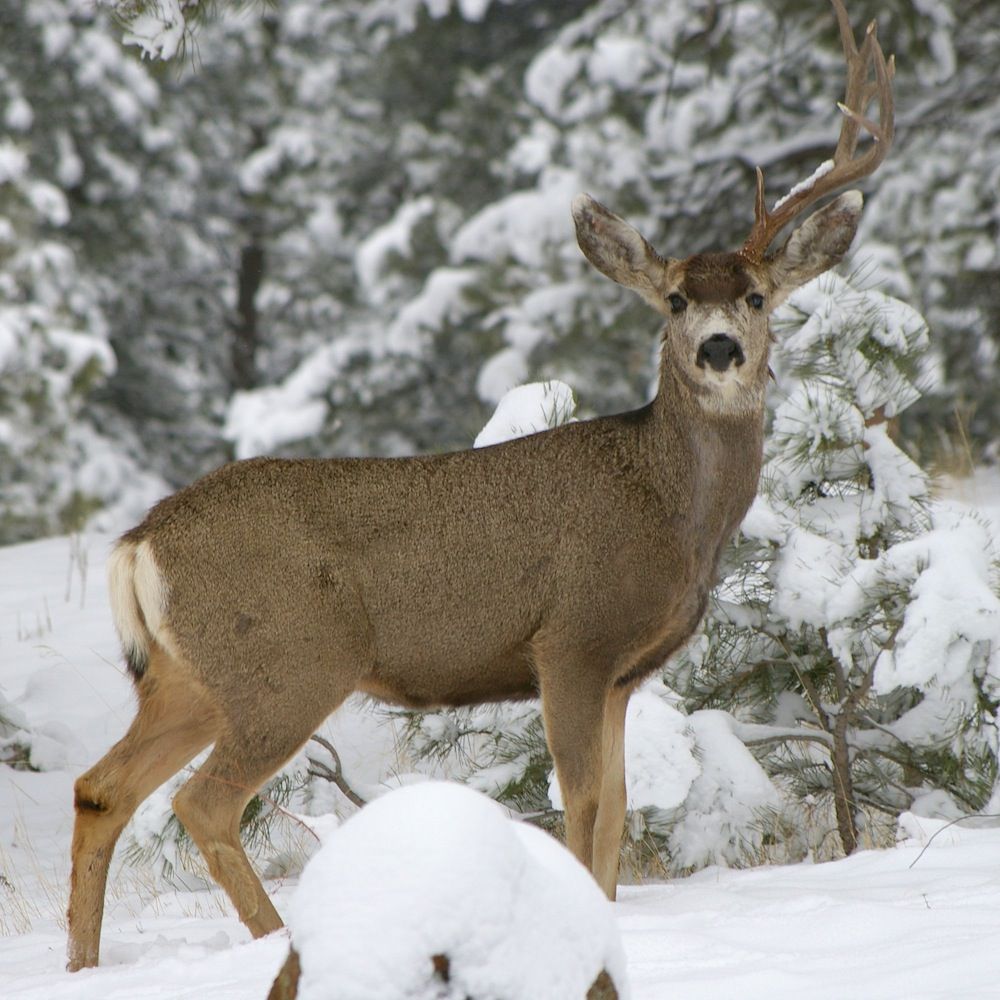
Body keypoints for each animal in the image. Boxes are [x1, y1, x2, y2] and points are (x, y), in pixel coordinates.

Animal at [67, 0, 893, 972]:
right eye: (677, 301)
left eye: (758, 296)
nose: (720, 349)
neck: (668, 510)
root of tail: (141, 540)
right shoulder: (571, 638)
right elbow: (584, 805)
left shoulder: (623, 672)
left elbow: (617, 810)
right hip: (288, 663)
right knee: (201, 802)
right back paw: (283, 944)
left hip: (189, 678)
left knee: (101, 788)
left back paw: (81, 965)